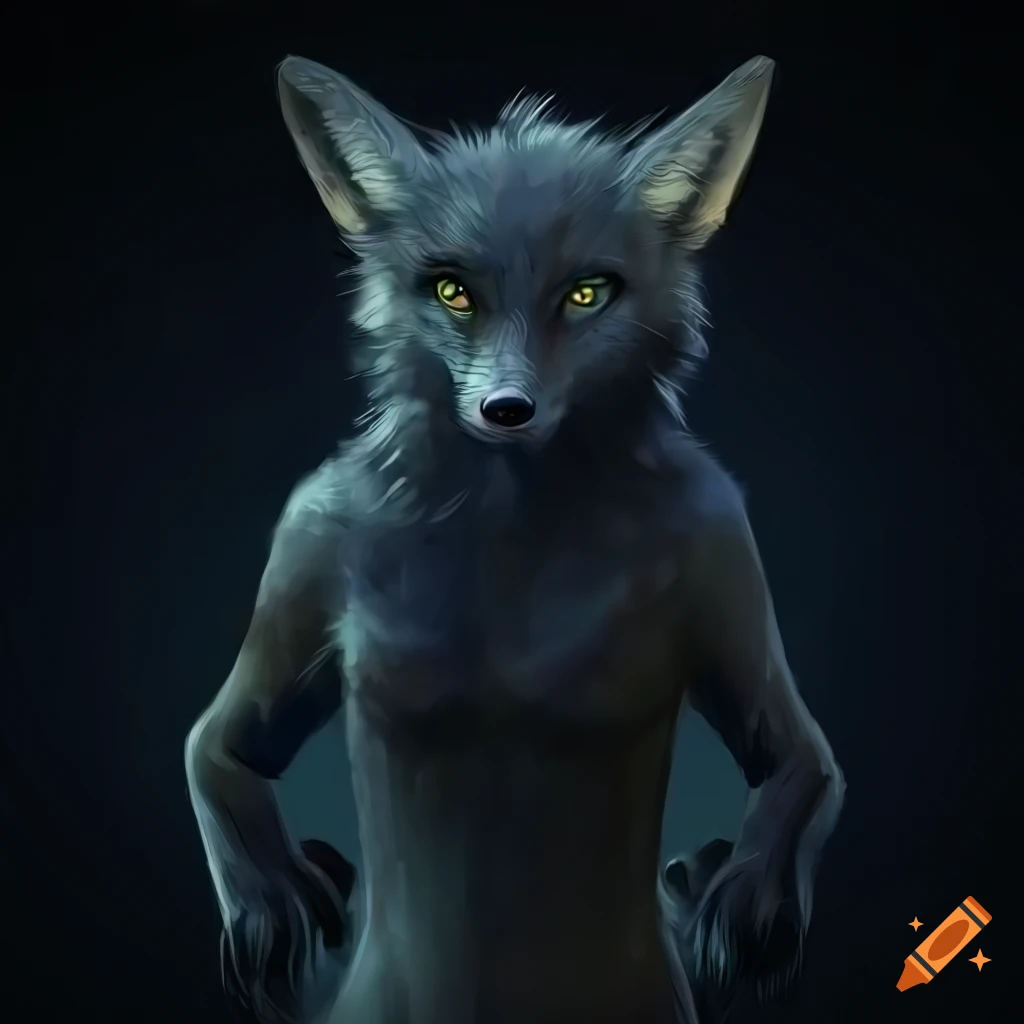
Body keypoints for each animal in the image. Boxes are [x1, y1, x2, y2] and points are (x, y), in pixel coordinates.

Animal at [185, 54, 845, 1024]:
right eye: (452, 290)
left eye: (586, 292)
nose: (507, 409)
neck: (511, 523)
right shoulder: (306, 536)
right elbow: (215, 751)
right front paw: (276, 909)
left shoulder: (723, 535)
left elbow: (801, 771)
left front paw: (743, 908)